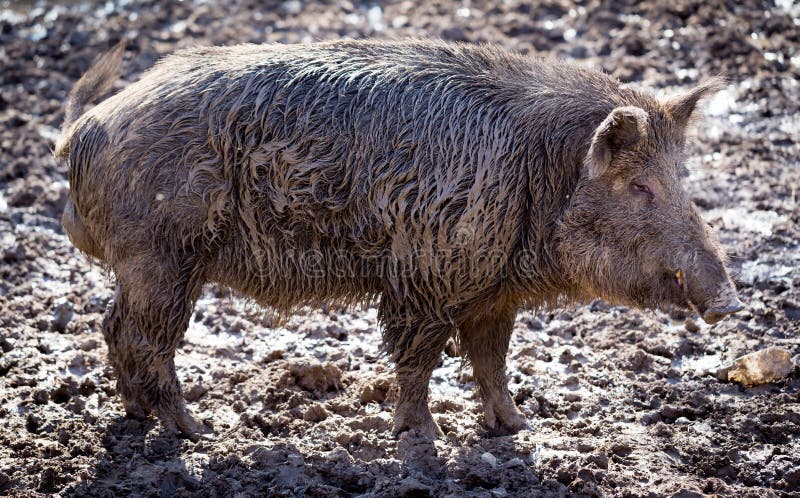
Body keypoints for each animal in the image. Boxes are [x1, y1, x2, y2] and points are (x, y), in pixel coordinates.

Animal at [55, 39, 743, 439]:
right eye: (639, 186)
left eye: (681, 178)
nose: (730, 302)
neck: (538, 170)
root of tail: (87, 126)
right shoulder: (427, 276)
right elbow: (419, 360)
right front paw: (423, 438)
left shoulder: (492, 291)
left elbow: (492, 359)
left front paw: (516, 429)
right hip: (162, 258)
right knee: (146, 339)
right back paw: (194, 432)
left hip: (148, 266)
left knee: (113, 325)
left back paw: (138, 418)